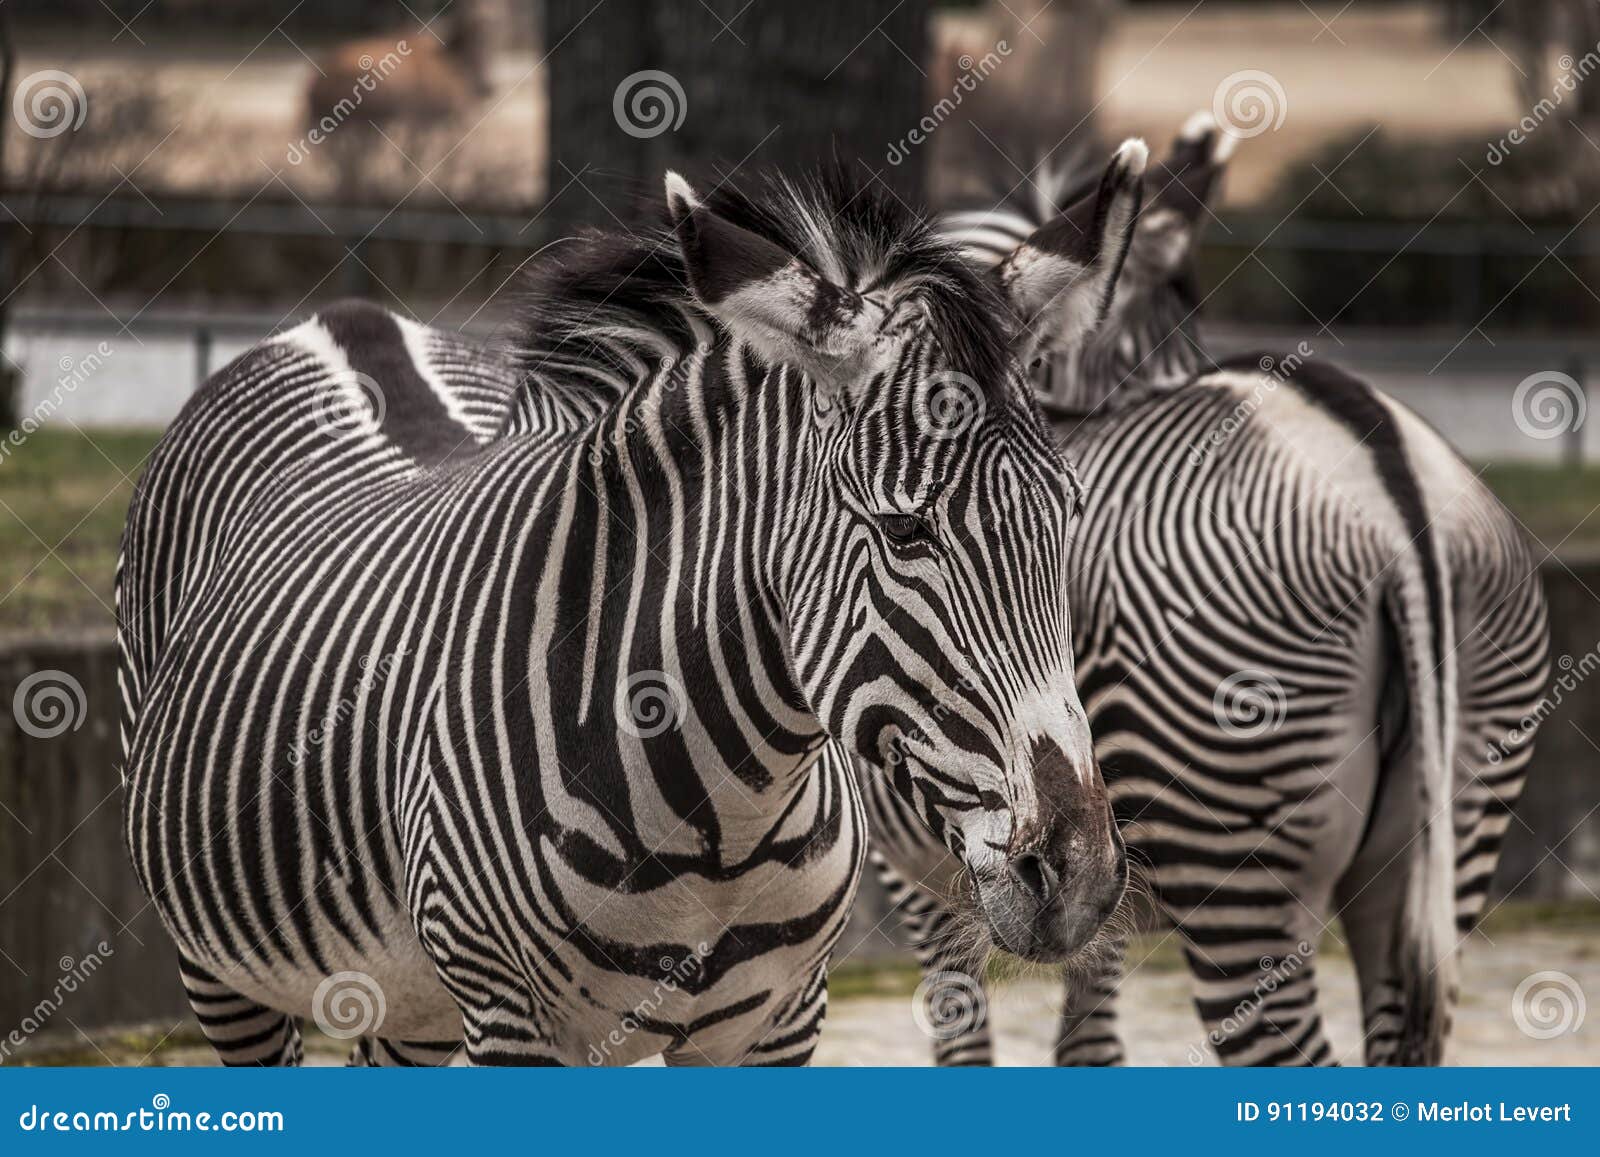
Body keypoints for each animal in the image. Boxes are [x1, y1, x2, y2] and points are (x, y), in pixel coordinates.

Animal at [117, 153, 1149, 1066]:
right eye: (905, 531)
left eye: (1067, 514)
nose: (1080, 874)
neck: (724, 827)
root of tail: (338, 320)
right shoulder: (514, 1024)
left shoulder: (778, 1023)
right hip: (223, 971)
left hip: (401, 997)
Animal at [864, 116, 1550, 1066]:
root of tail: (1390, 484)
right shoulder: (1093, 888)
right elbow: (1089, 1045)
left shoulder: (926, 874)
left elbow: (966, 1045)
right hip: (1451, 823)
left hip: (1237, 859)